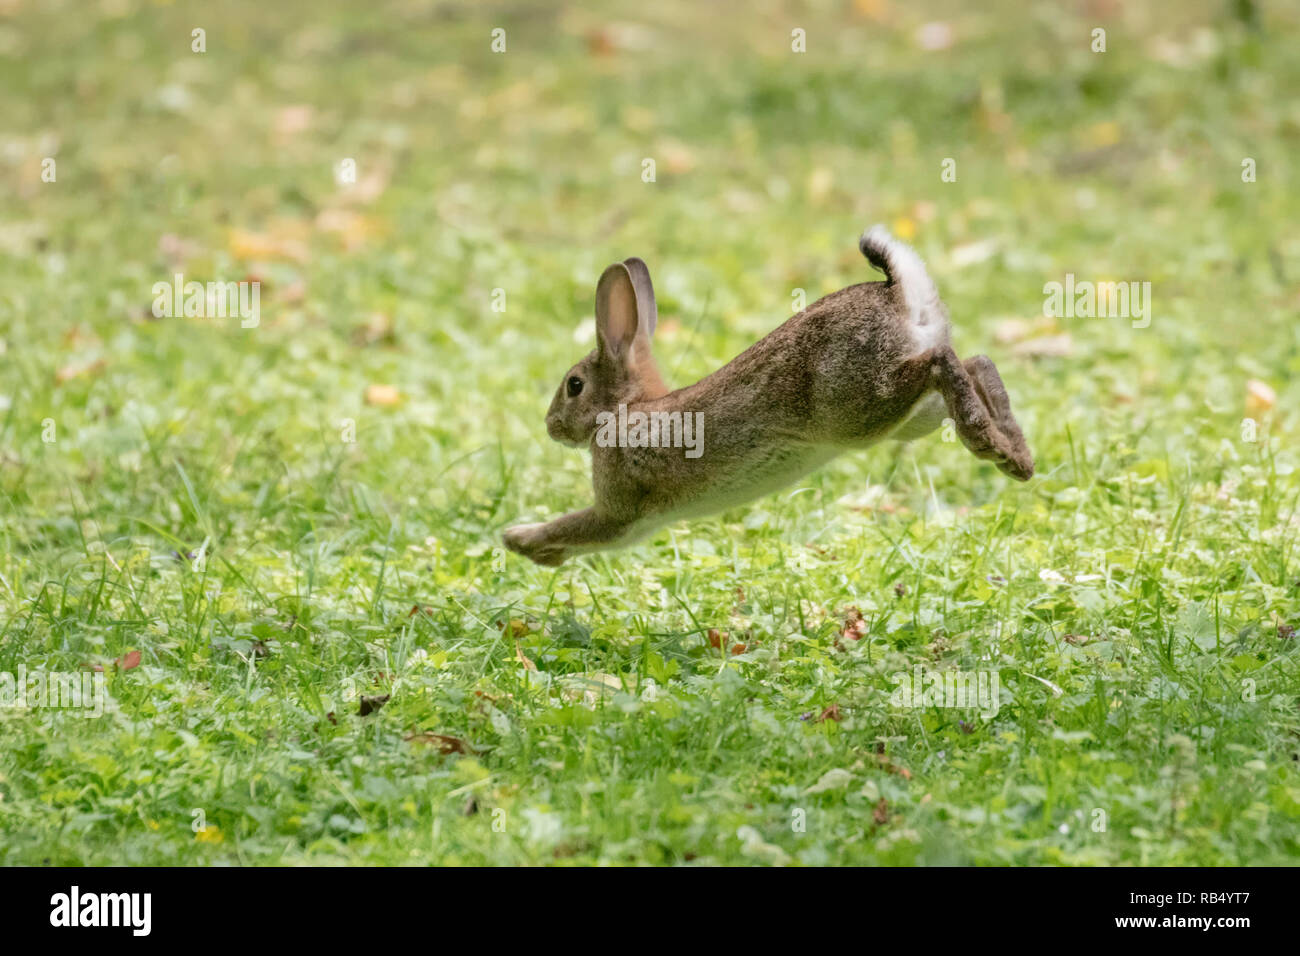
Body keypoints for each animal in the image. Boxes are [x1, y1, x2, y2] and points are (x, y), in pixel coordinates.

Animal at [503, 226, 1034, 567]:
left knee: (943, 361)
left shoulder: (622, 508)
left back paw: (988, 441)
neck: (626, 410)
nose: (550, 426)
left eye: (574, 385)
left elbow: (586, 525)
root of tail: (898, 292)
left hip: (859, 405)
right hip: (912, 416)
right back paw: (1015, 455)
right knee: (977, 362)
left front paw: (520, 541)